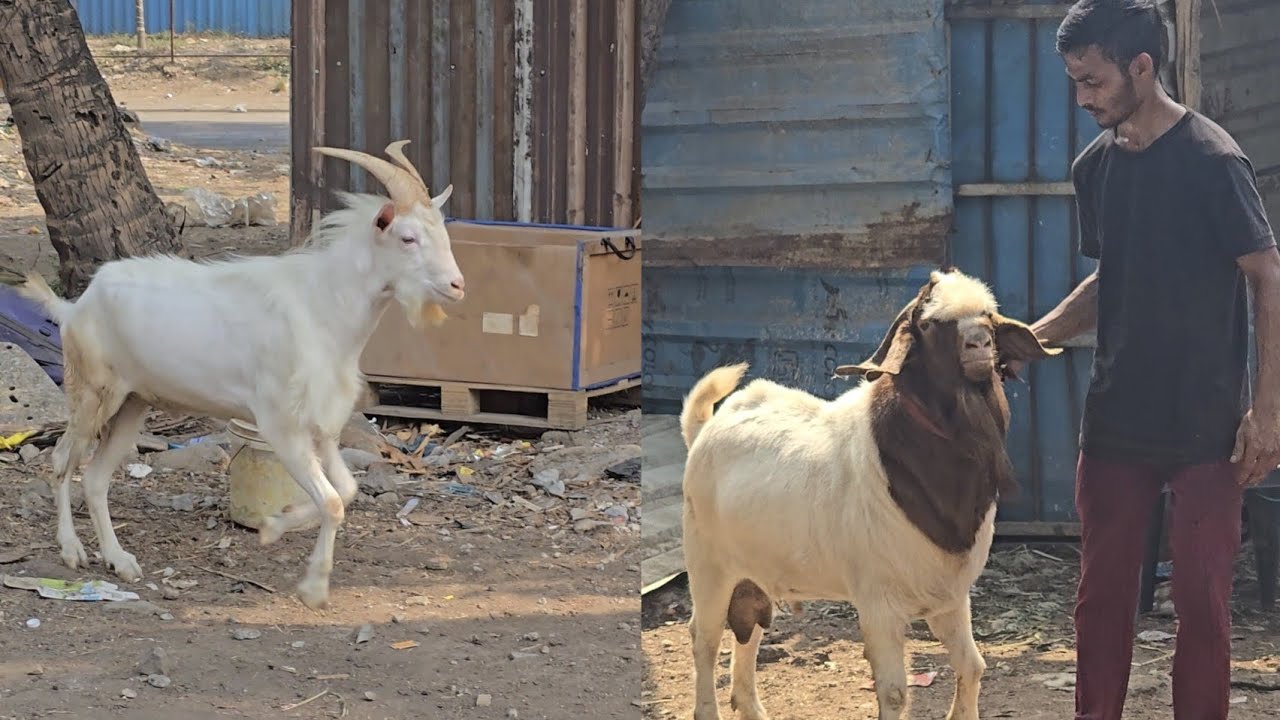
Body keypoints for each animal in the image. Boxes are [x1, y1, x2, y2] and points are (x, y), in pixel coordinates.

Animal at [17, 140, 463, 610]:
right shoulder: (281, 424)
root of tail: (75, 307)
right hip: (92, 392)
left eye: (443, 234)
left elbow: (345, 491)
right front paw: (313, 587)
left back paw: (120, 560)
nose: (457, 285)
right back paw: (72, 551)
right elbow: (331, 501)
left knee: (96, 477)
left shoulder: (323, 428)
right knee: (62, 460)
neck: (321, 304)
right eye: (407, 237)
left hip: (133, 402)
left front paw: (274, 524)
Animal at [678, 269, 1060, 720]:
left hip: (755, 567)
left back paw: (751, 707)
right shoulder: (879, 603)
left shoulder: (950, 597)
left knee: (749, 627)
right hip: (708, 564)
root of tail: (704, 429)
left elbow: (972, 666)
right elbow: (894, 692)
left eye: (989, 317)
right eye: (928, 324)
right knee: (704, 638)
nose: (979, 345)